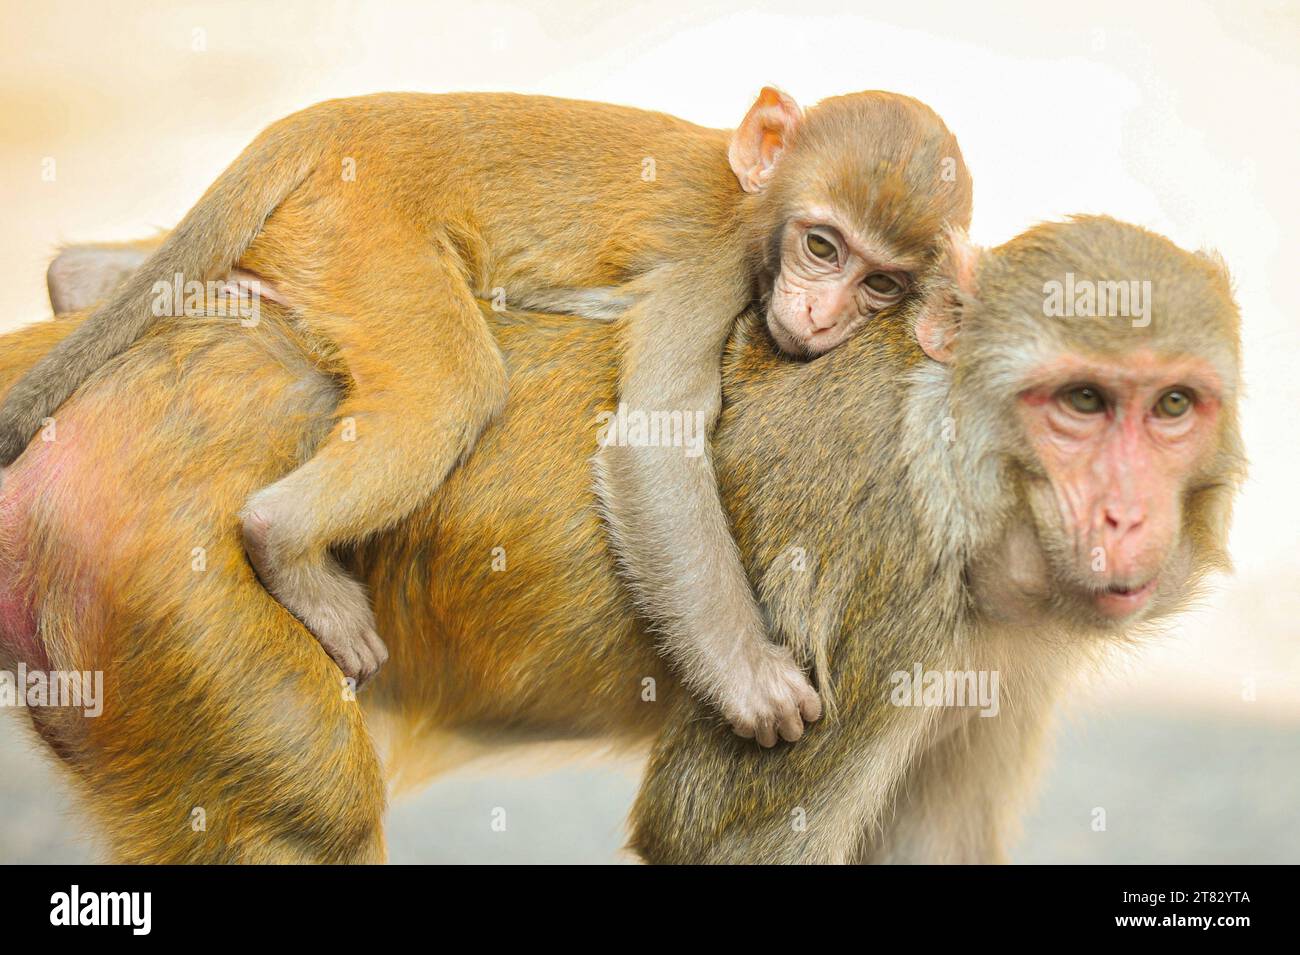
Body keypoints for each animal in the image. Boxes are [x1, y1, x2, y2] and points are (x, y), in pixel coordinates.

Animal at [0, 90, 973, 746]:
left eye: (881, 282)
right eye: (822, 245)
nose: (822, 314)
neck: (756, 199)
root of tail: (326, 119)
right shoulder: (716, 262)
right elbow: (652, 439)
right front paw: (751, 680)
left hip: (308, 235)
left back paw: (86, 283)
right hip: (364, 227)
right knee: (452, 387)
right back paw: (284, 541)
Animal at [0, 214, 1241, 863]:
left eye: (1172, 406)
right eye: (1079, 403)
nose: (1126, 516)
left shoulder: (1000, 657)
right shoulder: (886, 590)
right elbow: (719, 838)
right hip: (170, 579)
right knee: (306, 809)